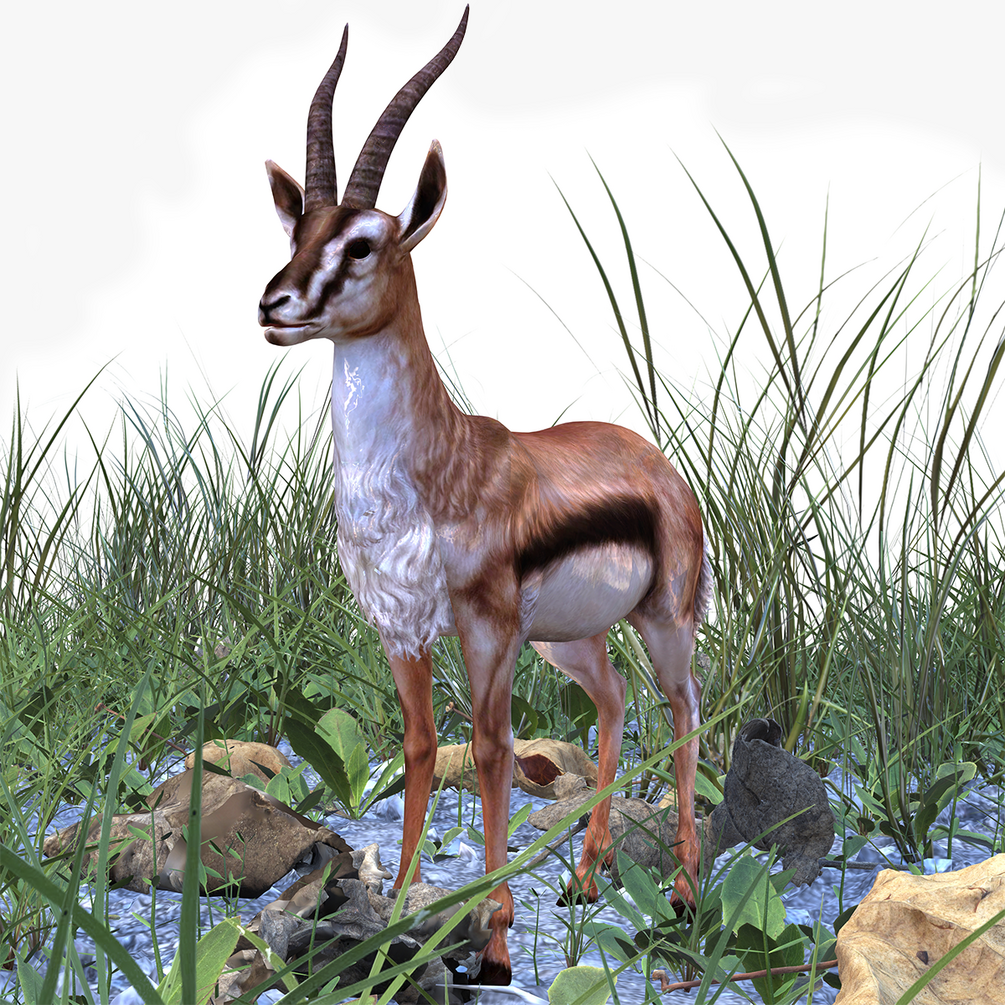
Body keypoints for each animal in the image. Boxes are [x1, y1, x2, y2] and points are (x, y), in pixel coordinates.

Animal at [257, 8, 710, 985]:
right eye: (297, 230)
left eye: (363, 242)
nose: (274, 303)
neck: (433, 467)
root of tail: (652, 457)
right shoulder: (398, 627)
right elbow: (423, 747)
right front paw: (393, 916)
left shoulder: (485, 624)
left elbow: (498, 753)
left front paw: (495, 942)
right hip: (570, 639)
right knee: (614, 703)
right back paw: (583, 878)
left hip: (660, 618)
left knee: (682, 708)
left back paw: (686, 892)